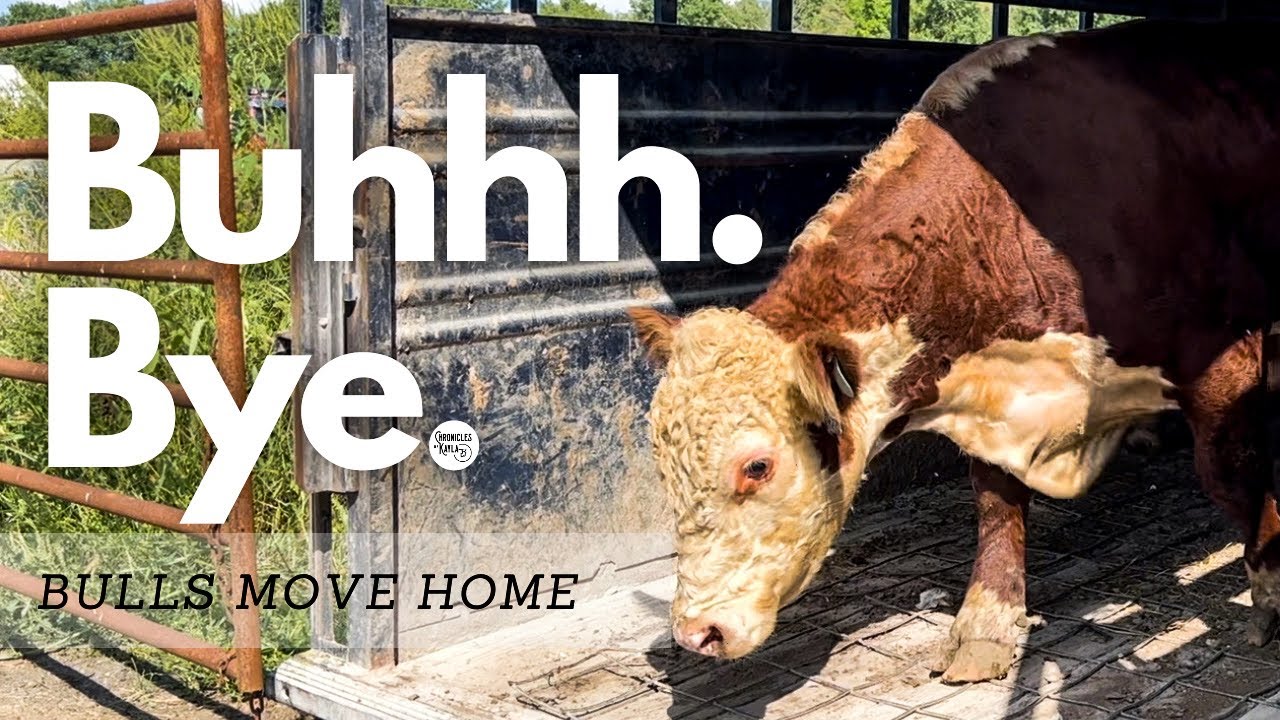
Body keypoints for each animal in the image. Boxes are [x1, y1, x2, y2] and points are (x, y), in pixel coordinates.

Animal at [627, 16, 1280, 684]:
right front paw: (986, 621)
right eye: (662, 464)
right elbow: (995, 502)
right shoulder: (993, 395)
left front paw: (1270, 592)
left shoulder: (1226, 360)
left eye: (757, 466)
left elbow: (1236, 471)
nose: (696, 632)